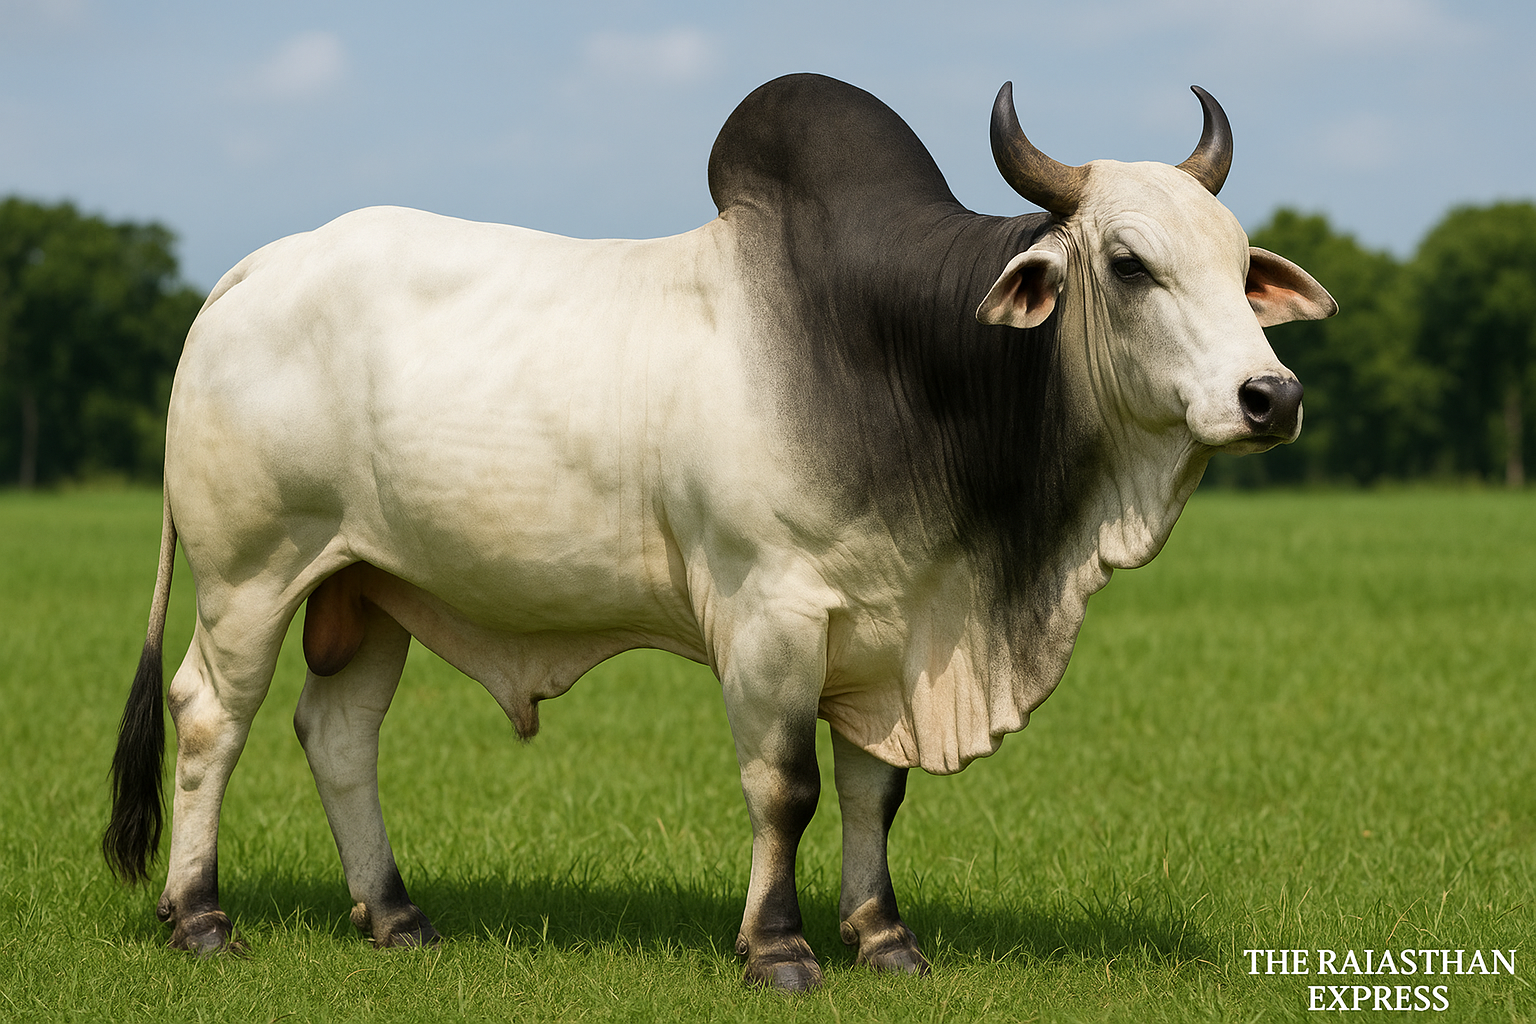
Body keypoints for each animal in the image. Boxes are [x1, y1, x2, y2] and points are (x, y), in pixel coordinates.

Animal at [104, 73, 1335, 991]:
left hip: (365, 585)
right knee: (211, 717)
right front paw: (778, 949)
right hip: (251, 574)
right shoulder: (768, 612)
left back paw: (394, 914)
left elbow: (875, 791)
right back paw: (200, 918)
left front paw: (883, 938)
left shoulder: (884, 630)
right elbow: (783, 783)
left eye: (1242, 266)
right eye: (1129, 263)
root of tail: (253, 270)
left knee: (338, 731)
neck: (911, 365)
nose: (1270, 396)